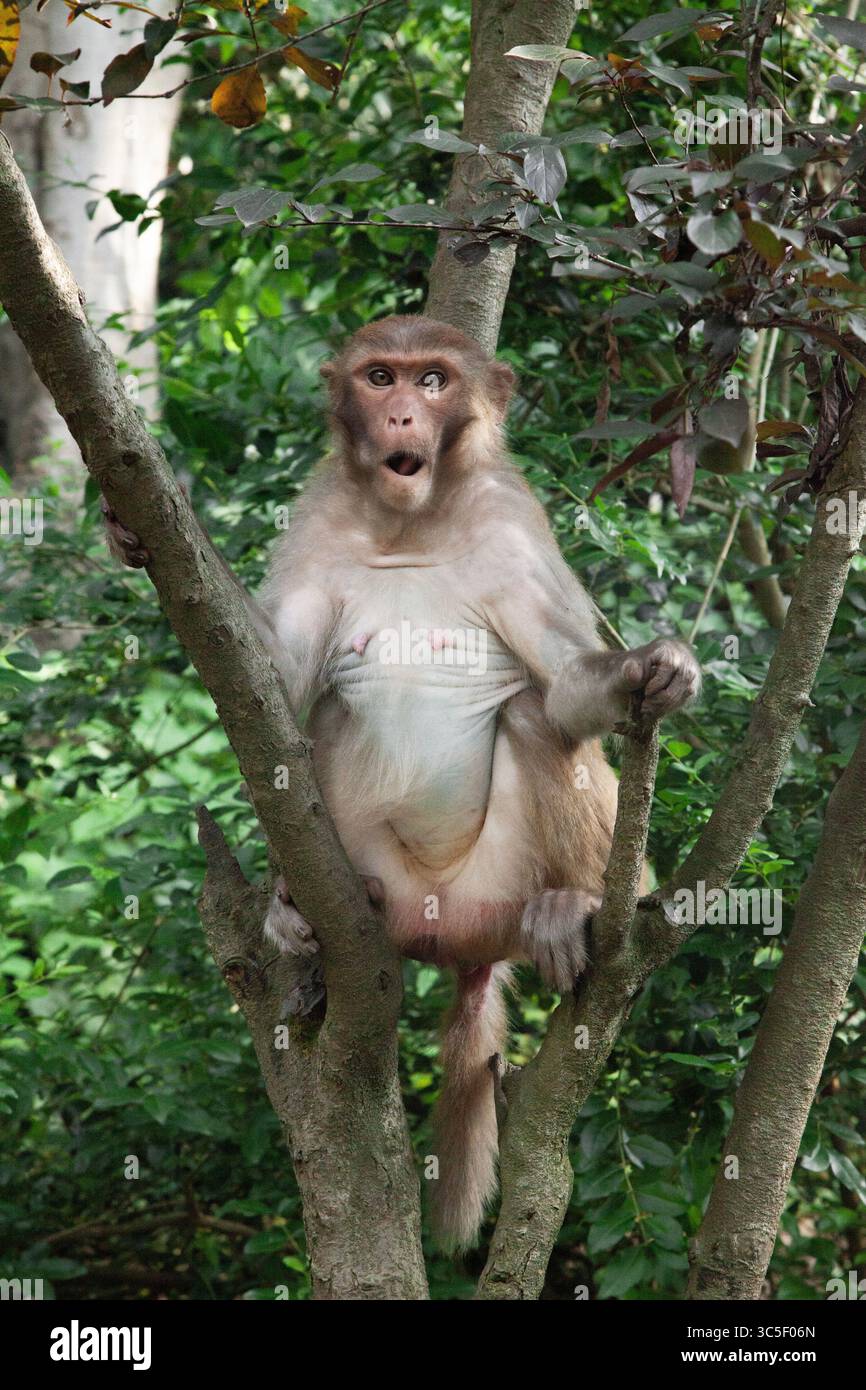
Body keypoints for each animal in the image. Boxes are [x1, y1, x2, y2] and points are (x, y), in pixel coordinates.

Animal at [103, 315, 700, 1252]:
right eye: (380, 377)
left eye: (433, 379)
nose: (404, 421)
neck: (407, 527)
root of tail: (453, 937)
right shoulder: (317, 515)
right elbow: (275, 678)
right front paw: (130, 535)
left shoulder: (510, 518)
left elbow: (568, 679)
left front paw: (655, 665)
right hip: (384, 874)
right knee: (321, 723)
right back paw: (297, 914)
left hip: (498, 890)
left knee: (534, 716)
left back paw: (582, 903)